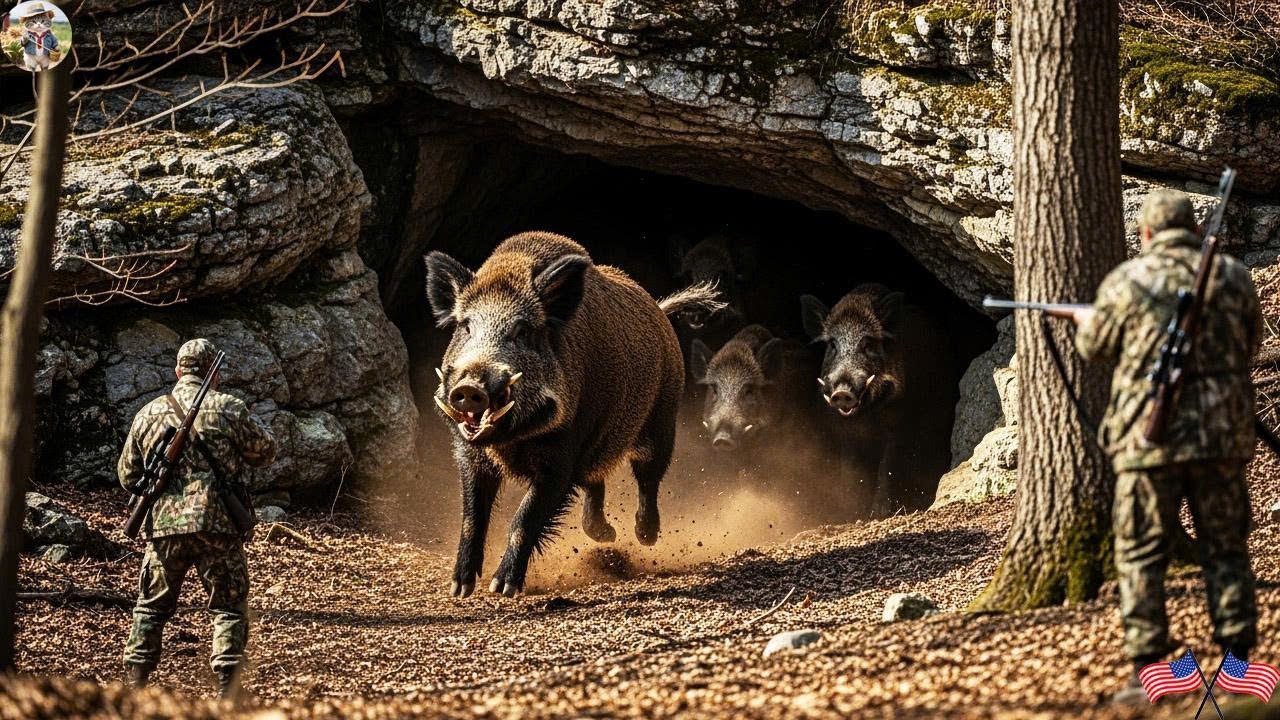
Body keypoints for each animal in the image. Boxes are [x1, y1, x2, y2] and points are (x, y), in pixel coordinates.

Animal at [425, 231, 724, 597]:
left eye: (523, 330)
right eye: (465, 326)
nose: (470, 386)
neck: (511, 441)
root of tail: (660, 309)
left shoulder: (561, 455)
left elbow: (525, 518)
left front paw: (502, 588)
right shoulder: (469, 454)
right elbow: (471, 519)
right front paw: (459, 589)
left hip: (661, 419)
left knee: (648, 476)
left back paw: (645, 537)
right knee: (597, 479)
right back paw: (604, 535)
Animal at [800, 284, 956, 514]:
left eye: (868, 344)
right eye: (832, 345)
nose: (842, 393)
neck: (867, 418)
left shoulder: (899, 426)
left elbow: (887, 467)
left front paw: (879, 514)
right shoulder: (845, 434)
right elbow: (850, 471)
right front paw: (849, 512)